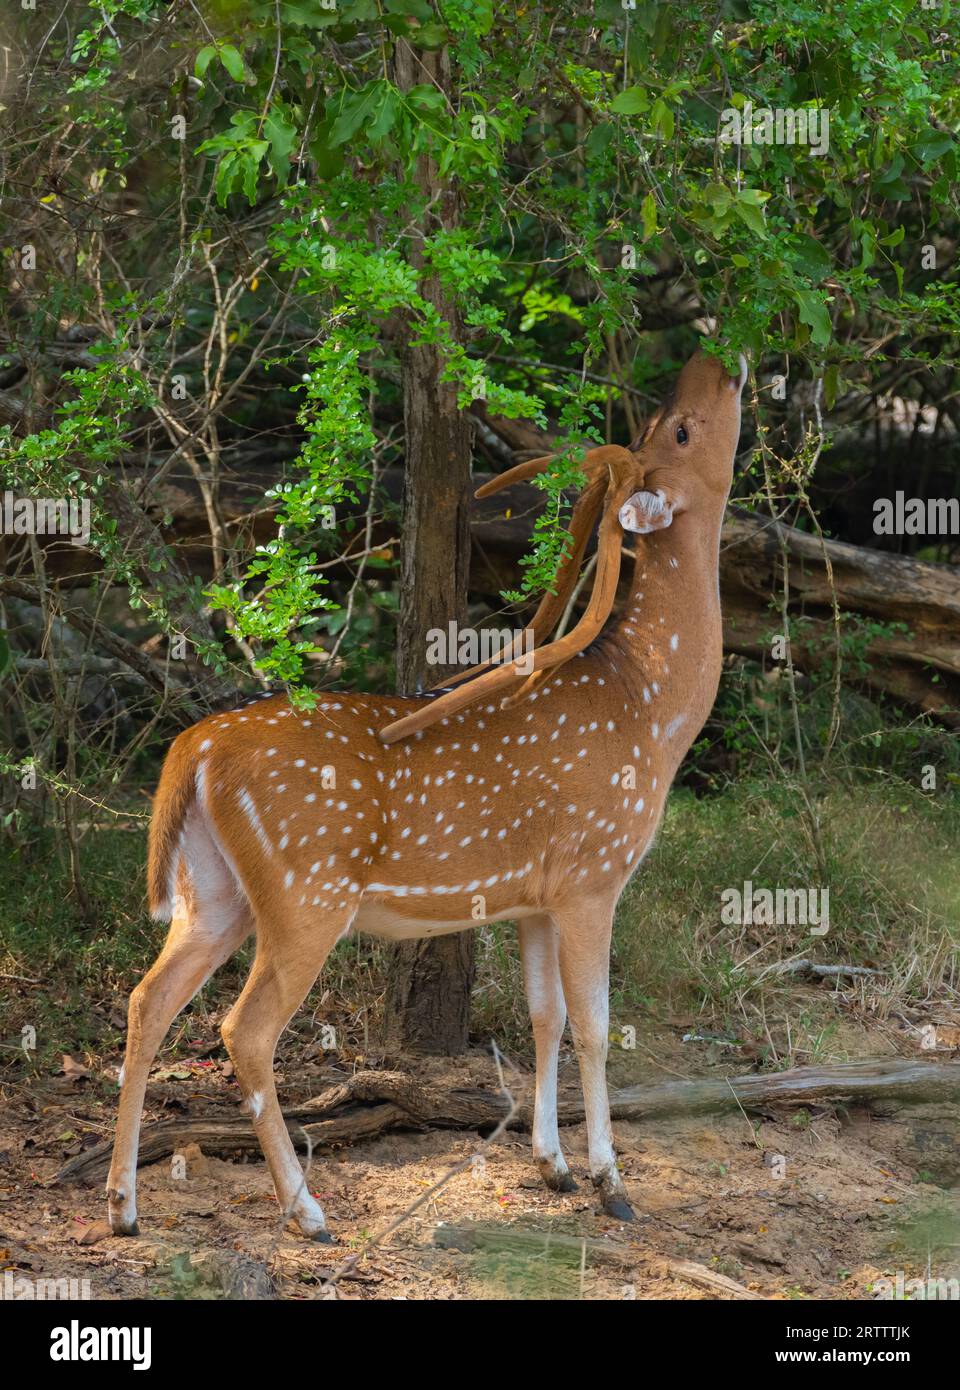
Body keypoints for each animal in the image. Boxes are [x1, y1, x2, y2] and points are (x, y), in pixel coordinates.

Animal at [106, 347, 747, 1241]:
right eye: (680, 428)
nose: (714, 360)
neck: (654, 712)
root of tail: (191, 751)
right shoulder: (594, 871)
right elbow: (595, 1028)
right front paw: (612, 1184)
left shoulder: (535, 896)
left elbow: (544, 1019)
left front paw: (551, 1167)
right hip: (307, 890)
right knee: (245, 1029)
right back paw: (308, 1212)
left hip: (216, 890)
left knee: (147, 999)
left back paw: (124, 1207)